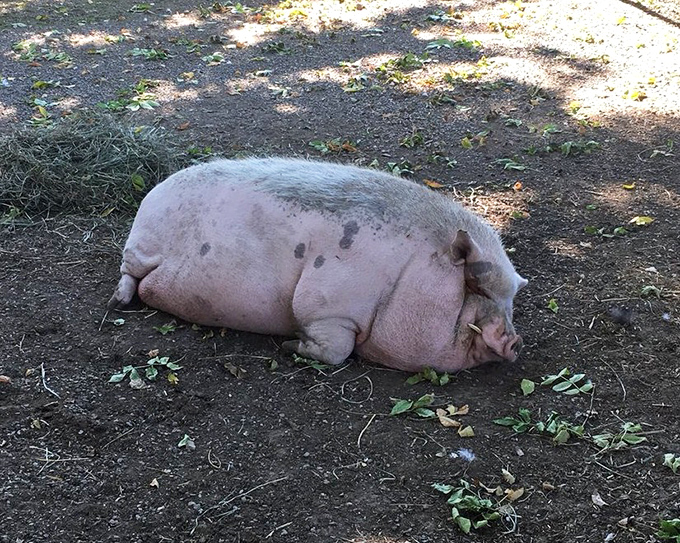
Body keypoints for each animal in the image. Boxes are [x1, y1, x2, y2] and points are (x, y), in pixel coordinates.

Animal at [108, 157, 527, 372]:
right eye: (475, 284)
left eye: (510, 300)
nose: (515, 340)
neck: (407, 274)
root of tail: (155, 189)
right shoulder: (327, 306)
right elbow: (336, 349)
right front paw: (289, 344)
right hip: (141, 245)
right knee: (129, 274)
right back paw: (117, 302)